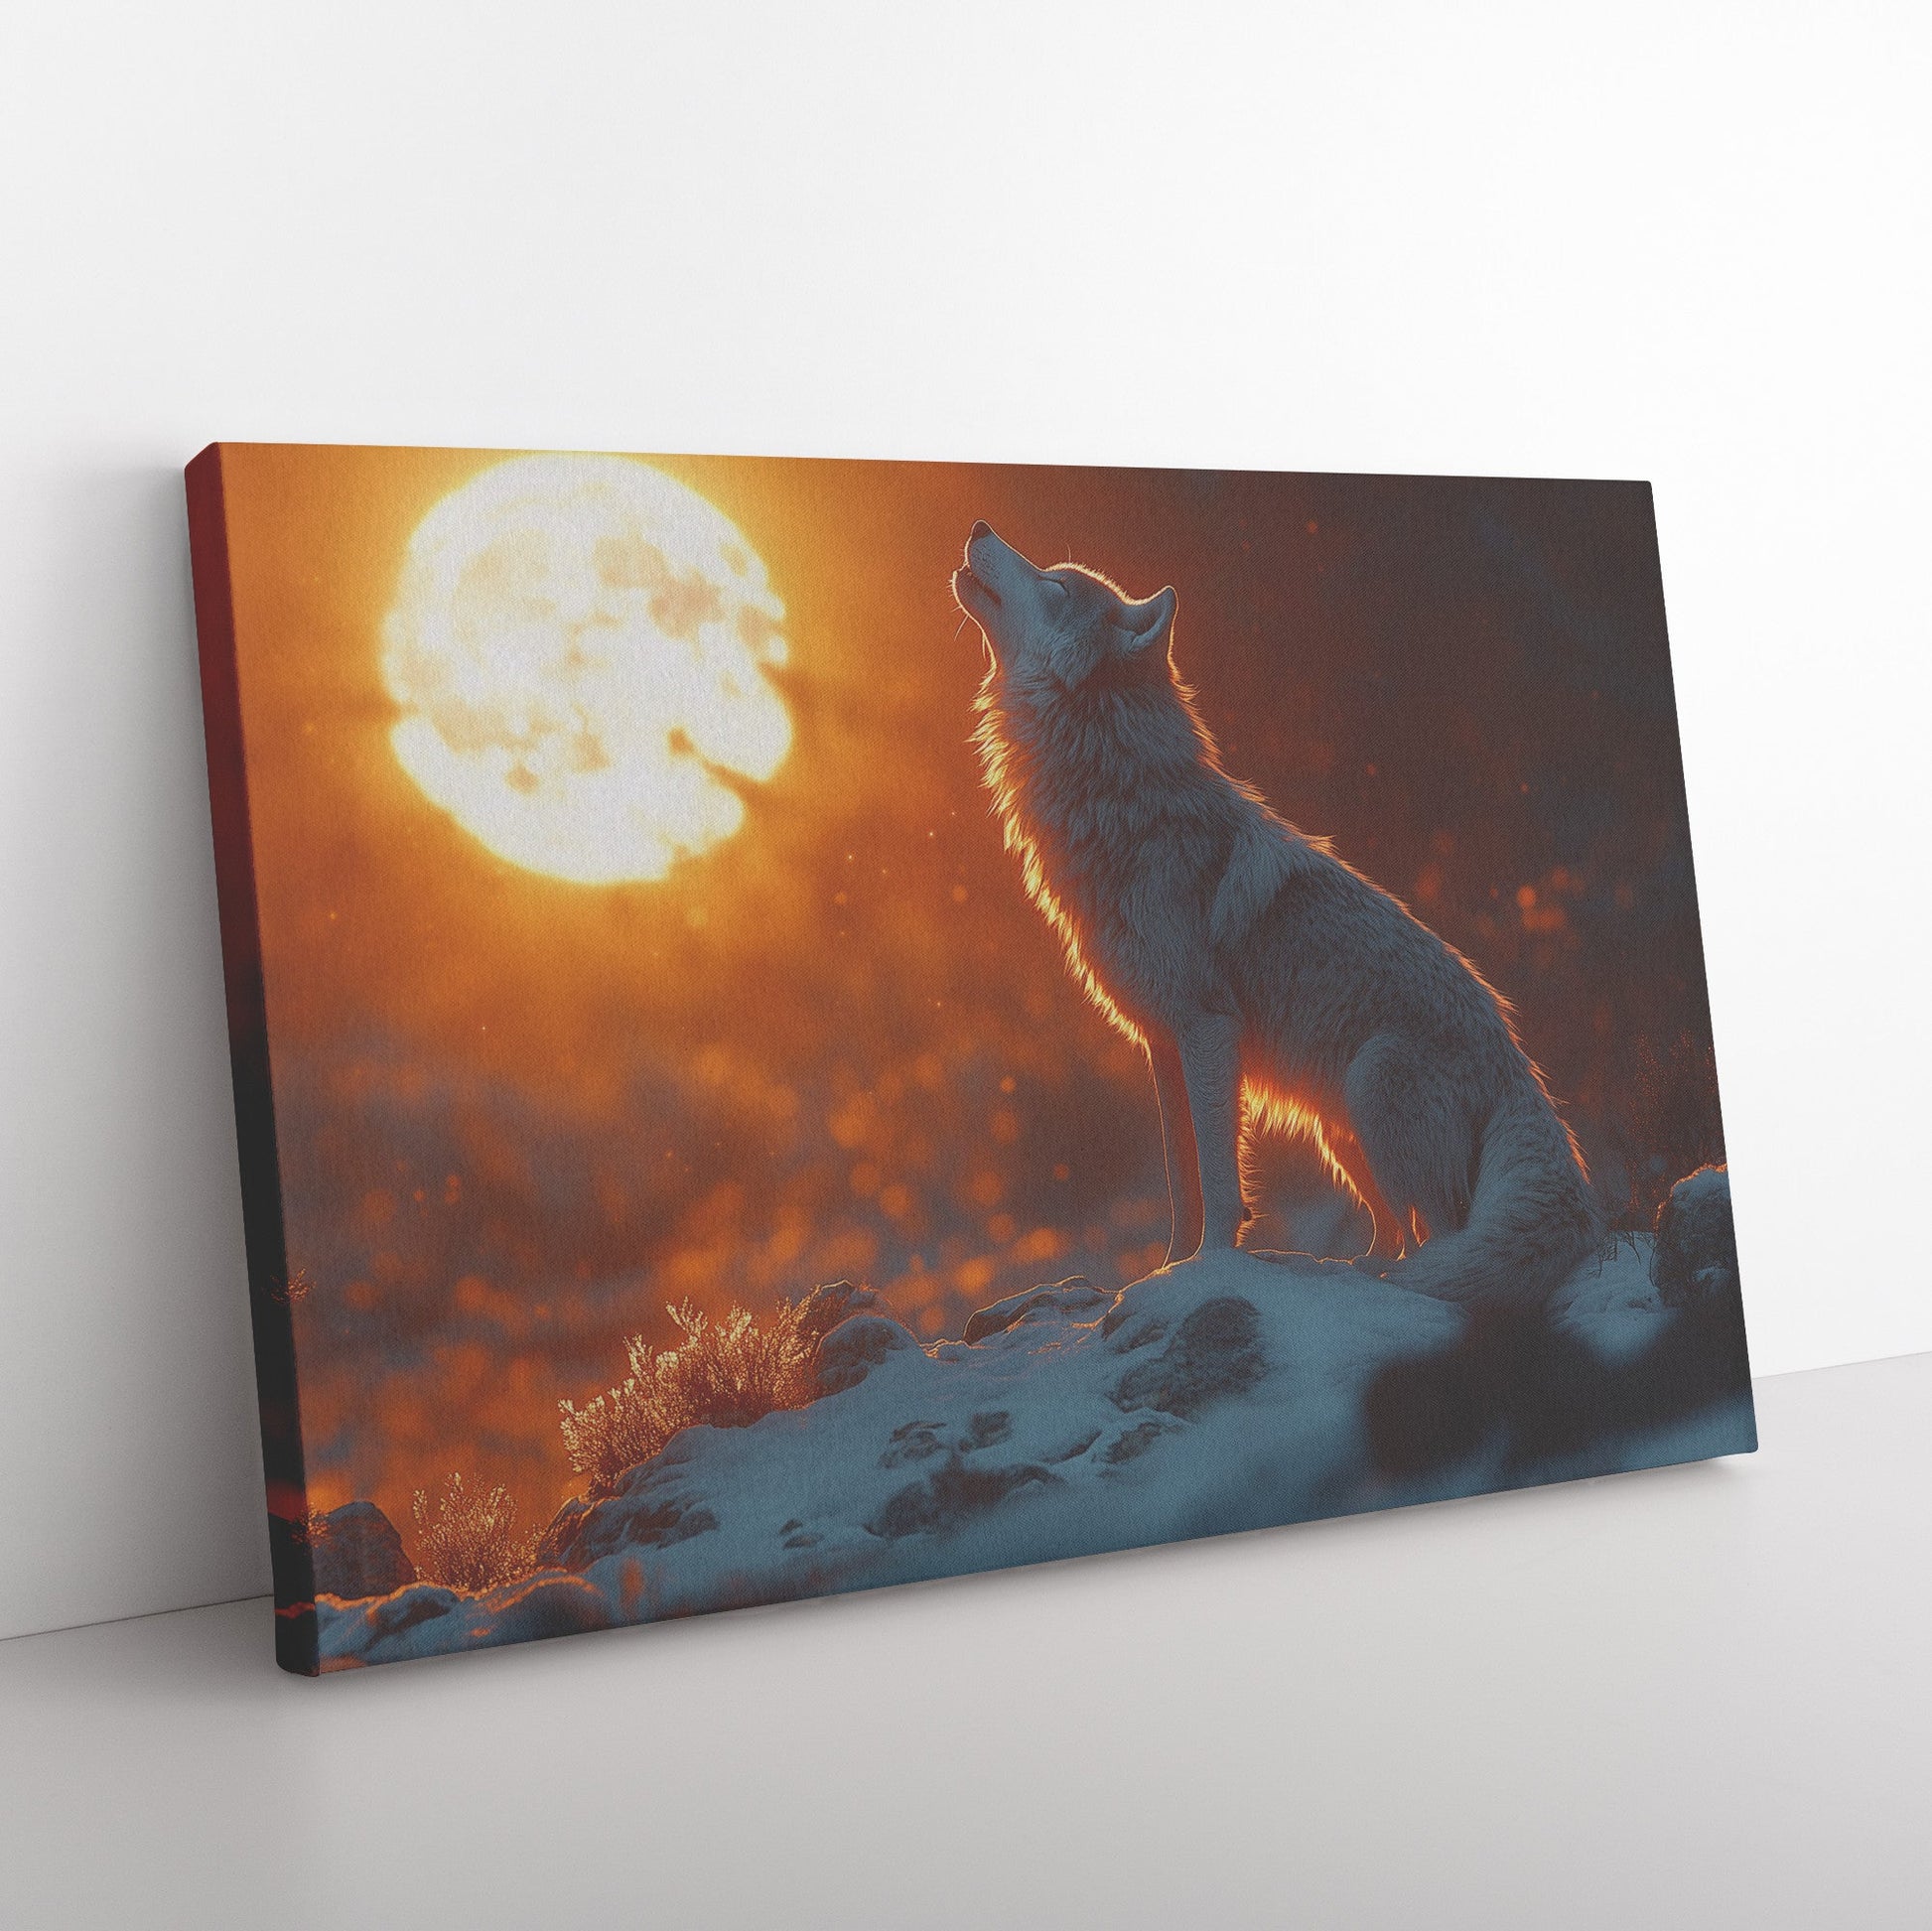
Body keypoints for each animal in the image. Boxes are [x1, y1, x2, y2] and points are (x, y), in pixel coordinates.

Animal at [954, 520, 1599, 1305]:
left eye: (1053, 583)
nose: (979, 527)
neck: (1122, 808)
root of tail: (1518, 1064)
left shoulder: (1207, 1029)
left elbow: (1221, 1183)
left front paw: (1211, 1266)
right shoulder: (1162, 1042)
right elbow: (1181, 1181)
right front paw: (1167, 1270)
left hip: (1370, 1084)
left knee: (1440, 1237)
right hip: (1335, 1128)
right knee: (1398, 1229)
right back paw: (1360, 1268)